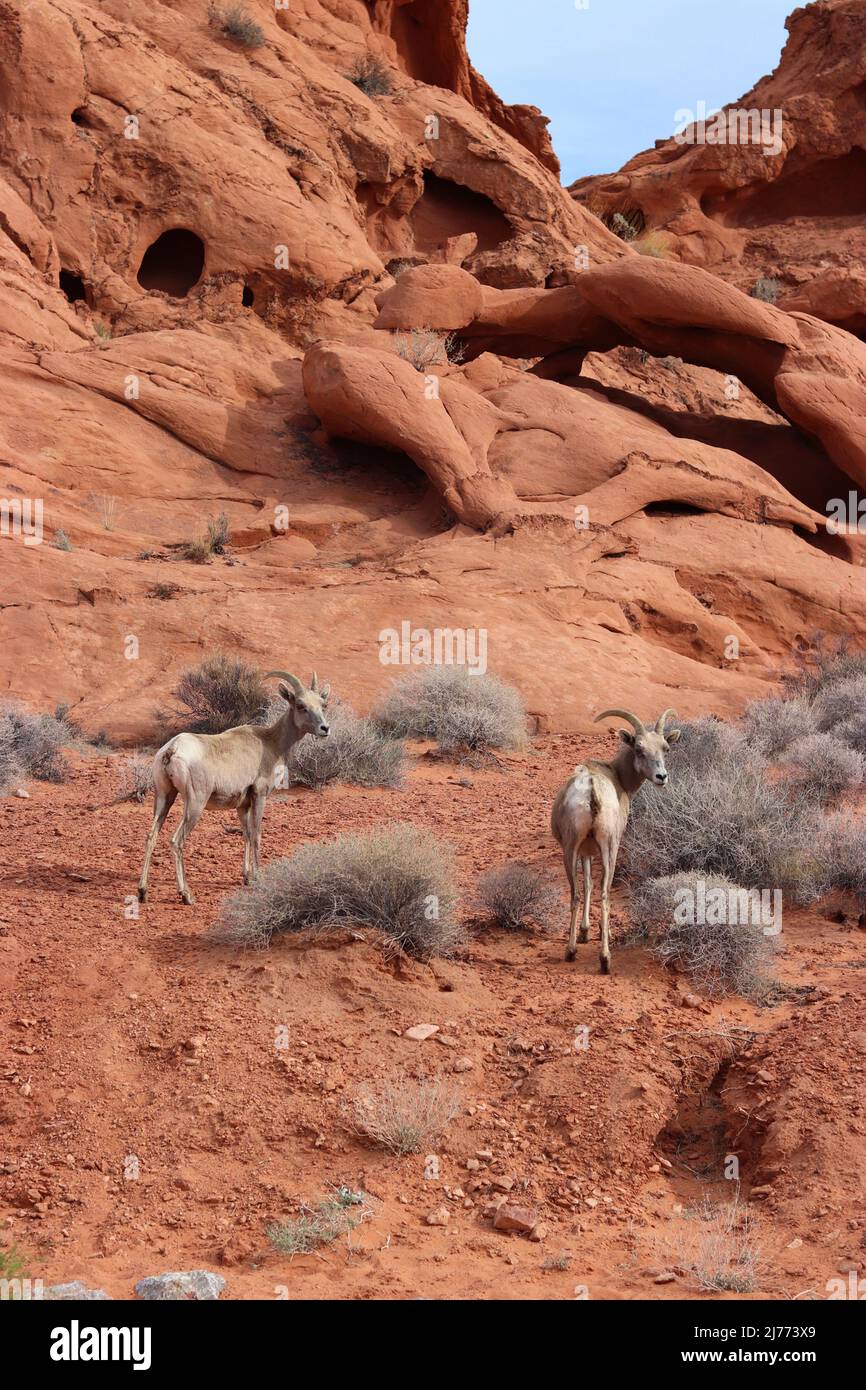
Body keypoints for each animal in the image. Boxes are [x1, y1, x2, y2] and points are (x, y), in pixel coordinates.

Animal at [137, 671, 330, 905]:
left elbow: (246, 834)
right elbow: (256, 835)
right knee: (176, 841)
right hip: (195, 805)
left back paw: (143, 892)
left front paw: (247, 878)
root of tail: (172, 750)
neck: (270, 743)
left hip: (165, 797)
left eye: (322, 704)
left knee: (151, 836)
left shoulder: (242, 805)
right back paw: (186, 895)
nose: (325, 729)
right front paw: (259, 877)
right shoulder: (259, 796)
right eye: (301, 705)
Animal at [551, 708, 680, 974]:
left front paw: (585, 932)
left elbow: (588, 884)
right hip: (609, 848)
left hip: (573, 848)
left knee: (579, 894)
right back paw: (603, 958)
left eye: (666, 748)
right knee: (604, 894)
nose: (661, 777)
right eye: (639, 749)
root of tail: (591, 791)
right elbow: (592, 886)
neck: (616, 776)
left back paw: (574, 951)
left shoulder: (586, 851)